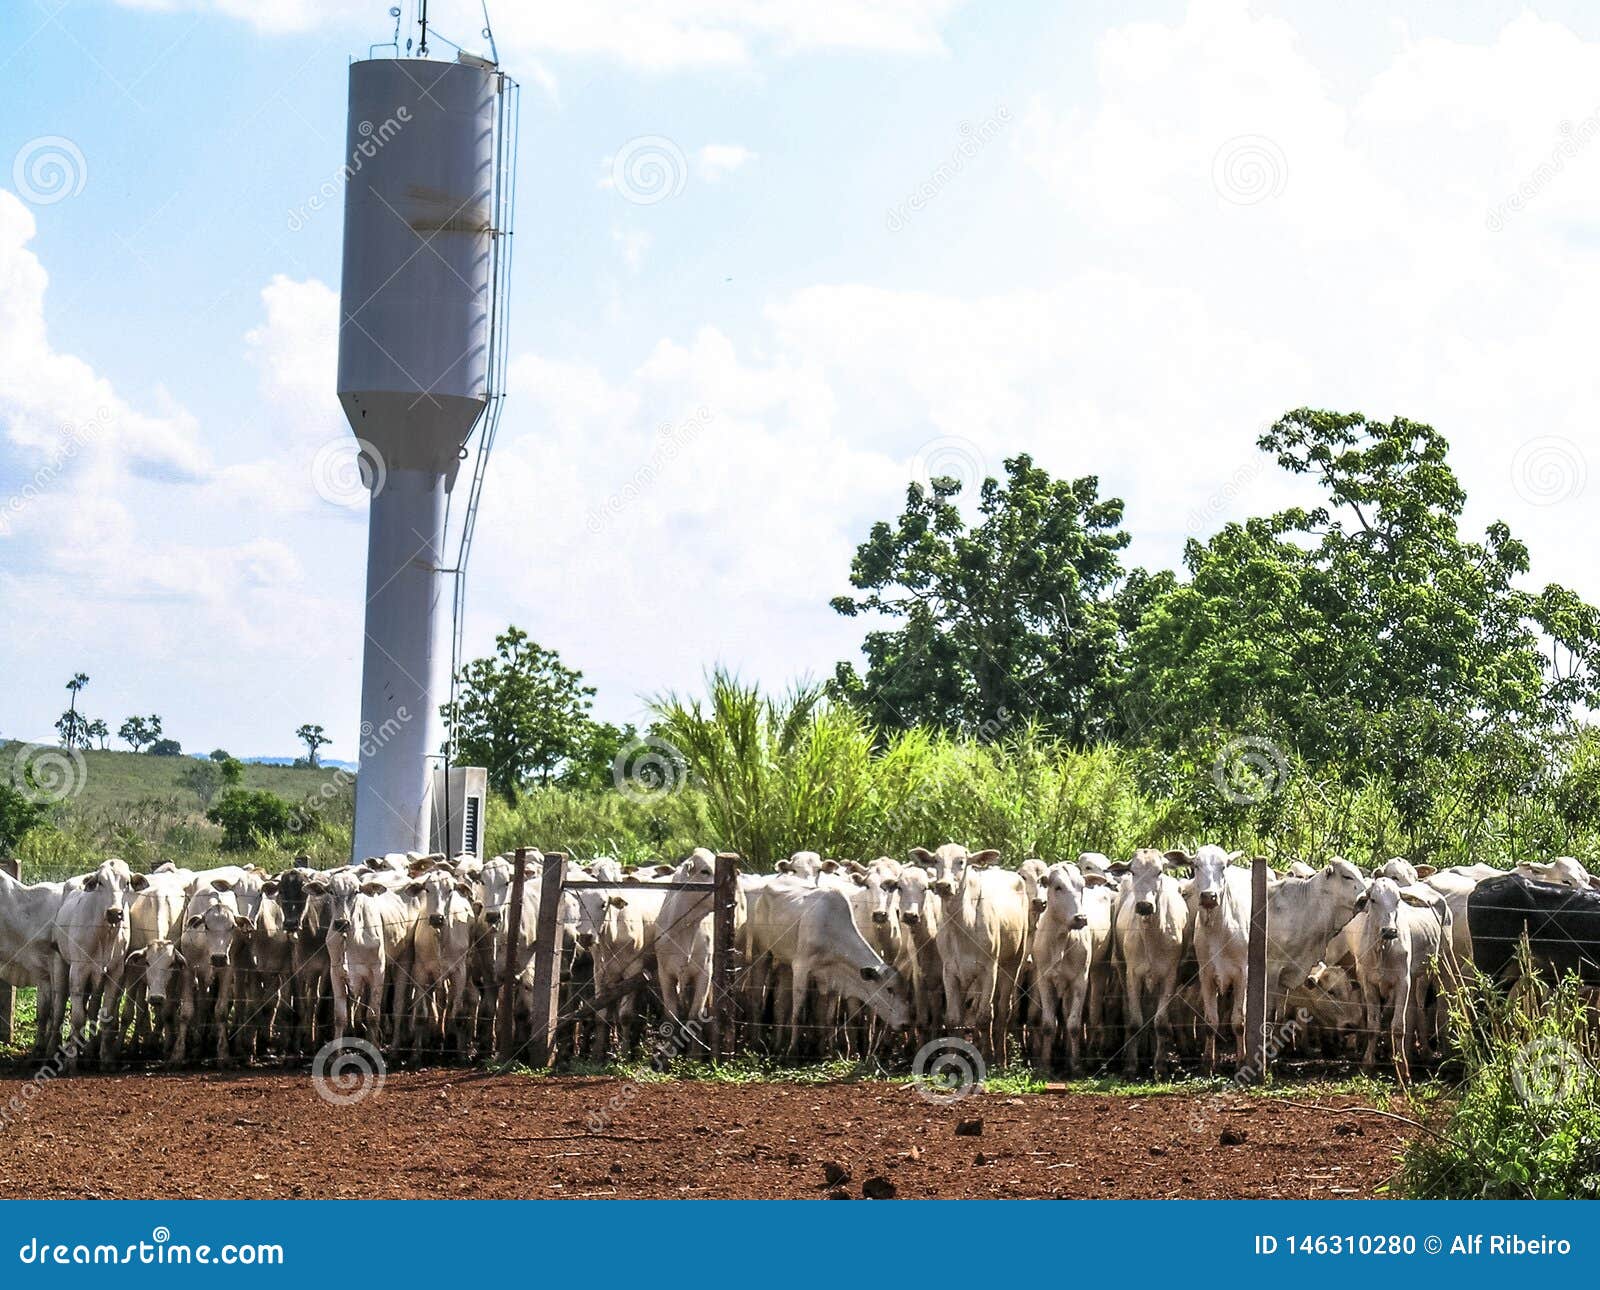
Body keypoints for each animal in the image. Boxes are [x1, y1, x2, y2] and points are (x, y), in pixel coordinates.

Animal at [917, 844, 1029, 1064]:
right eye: (936, 861)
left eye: (961, 861)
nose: (943, 885)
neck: (964, 927)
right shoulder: (950, 971)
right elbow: (953, 1018)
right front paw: (953, 1059)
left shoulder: (989, 969)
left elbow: (984, 1017)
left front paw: (987, 1057)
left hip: (1013, 962)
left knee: (1002, 1009)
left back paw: (1001, 1057)